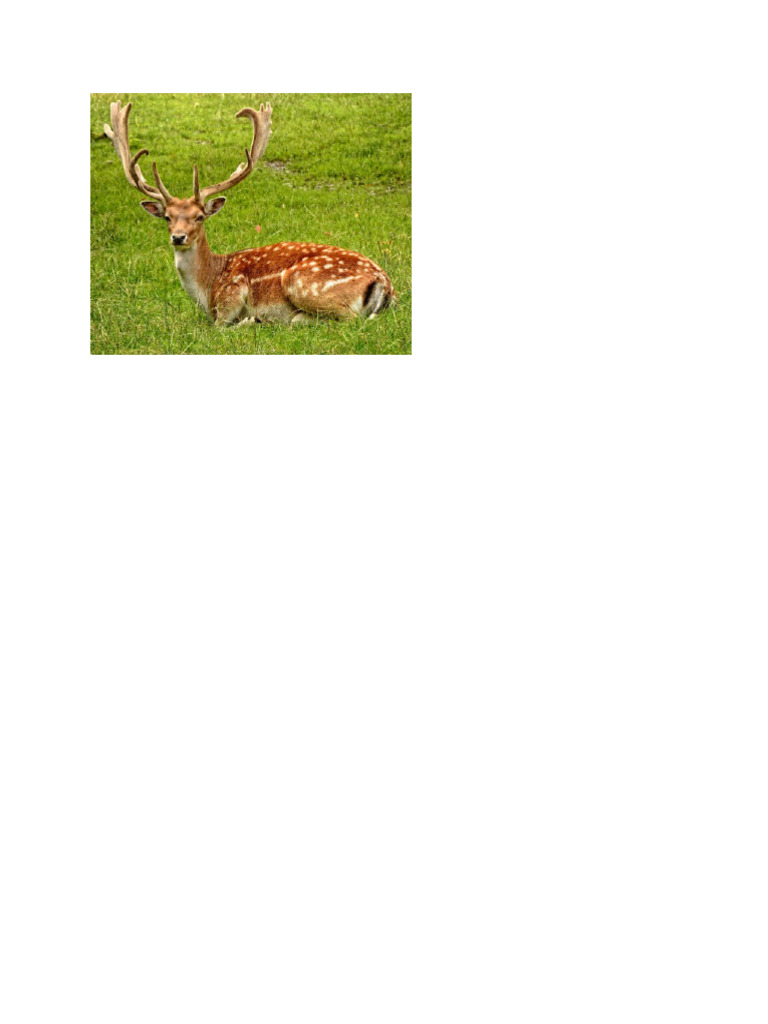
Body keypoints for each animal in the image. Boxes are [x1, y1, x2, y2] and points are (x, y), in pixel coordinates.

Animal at [104, 100, 394, 326]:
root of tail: (384, 283)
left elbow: (220, 326)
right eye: (168, 217)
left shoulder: (231, 295)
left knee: (348, 320)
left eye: (200, 216)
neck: (209, 286)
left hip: (302, 282)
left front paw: (251, 319)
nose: (178, 237)